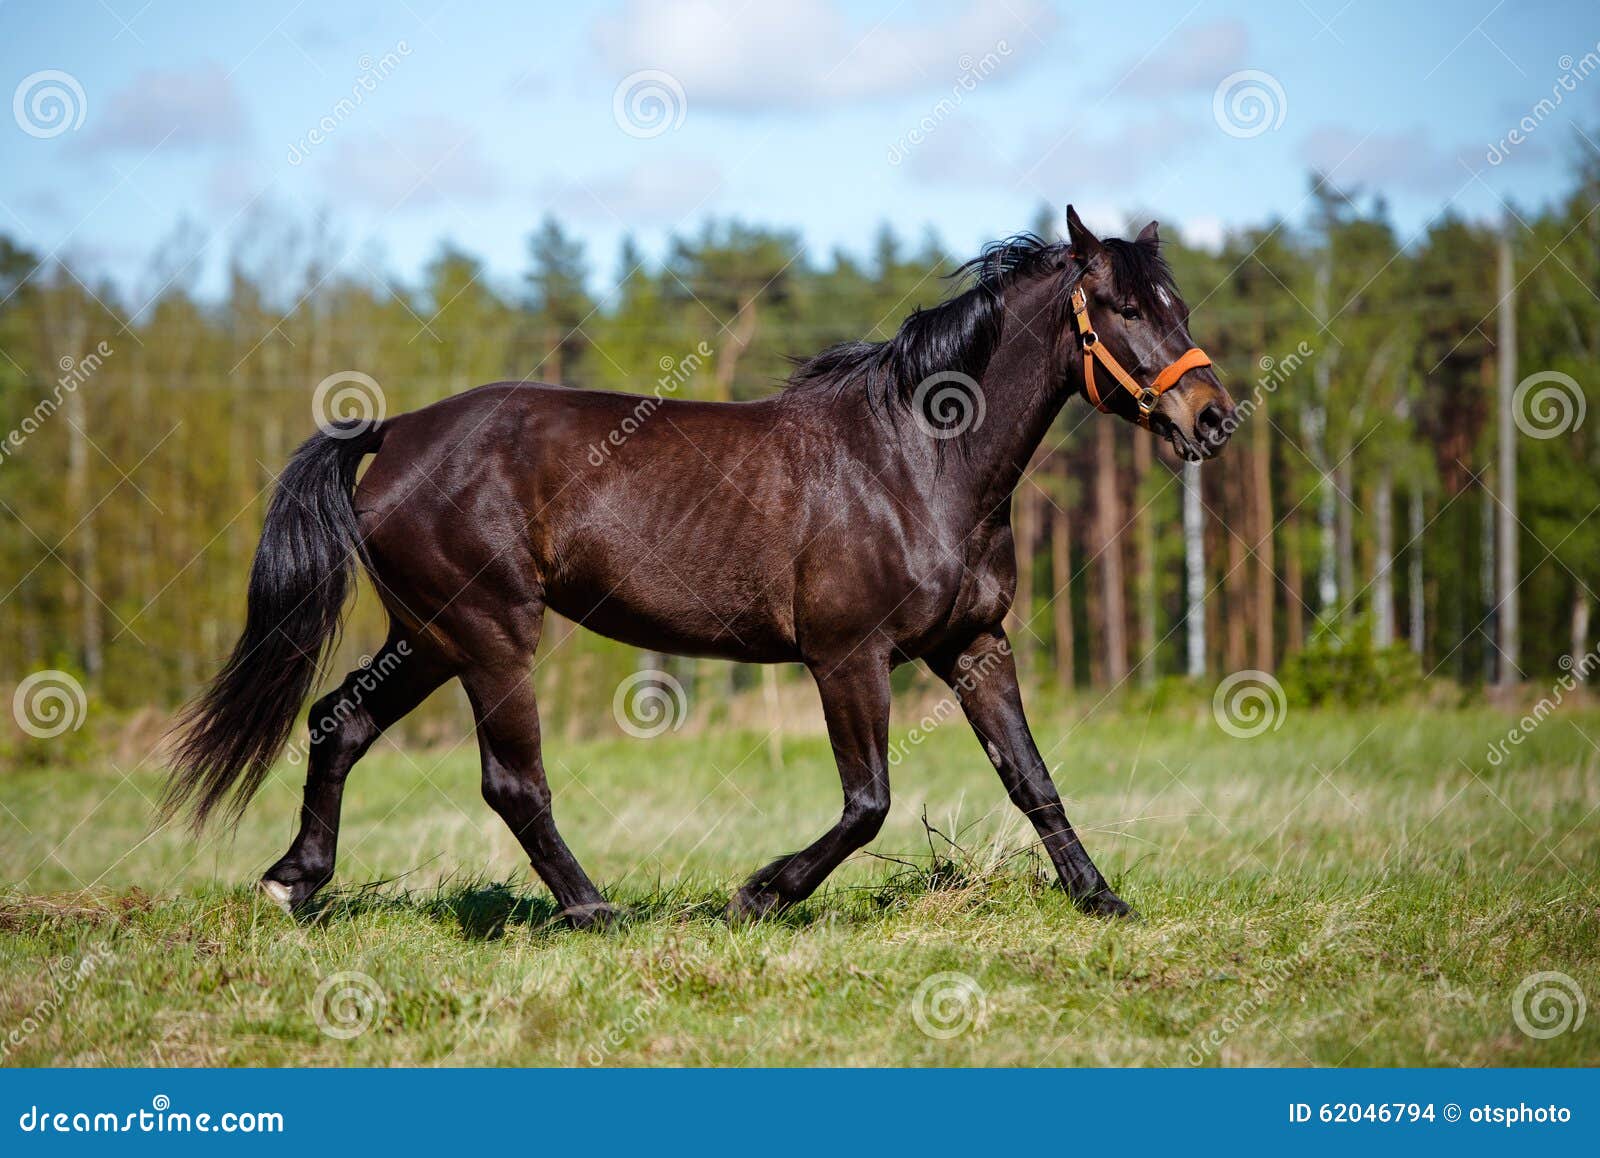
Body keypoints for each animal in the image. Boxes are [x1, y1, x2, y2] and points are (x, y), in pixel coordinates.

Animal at [163, 206, 1235, 925]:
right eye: (1122, 306)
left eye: (1179, 304)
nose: (1214, 417)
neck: (915, 462)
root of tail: (393, 432)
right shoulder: (846, 658)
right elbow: (869, 803)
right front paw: (757, 895)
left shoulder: (973, 643)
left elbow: (1031, 778)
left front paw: (1100, 899)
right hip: (491, 637)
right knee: (512, 782)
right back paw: (594, 911)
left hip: (428, 636)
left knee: (337, 724)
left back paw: (296, 883)